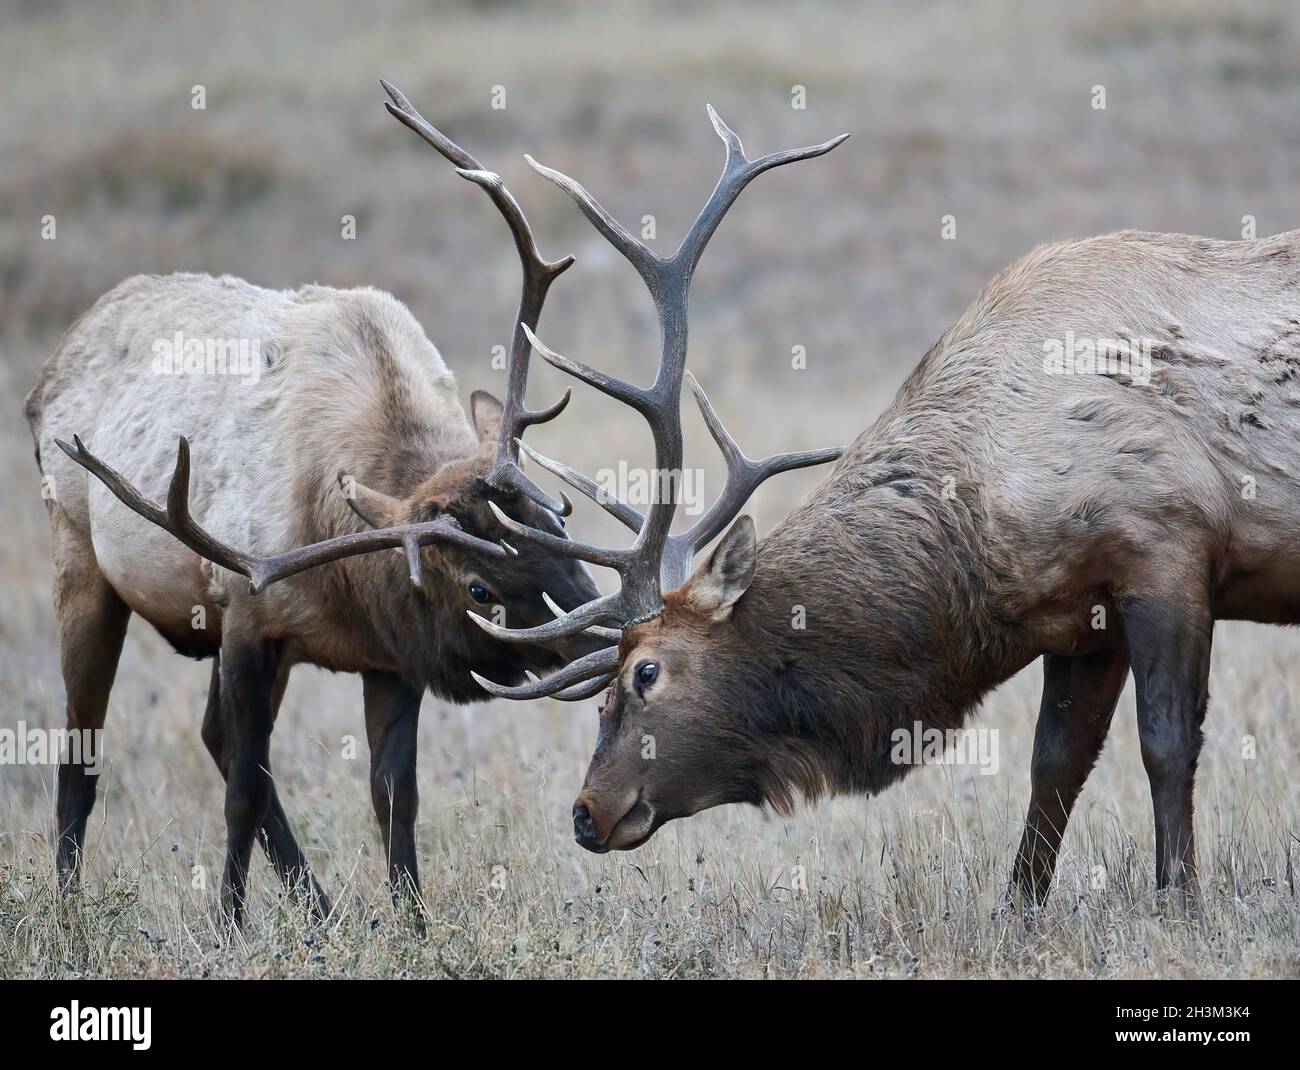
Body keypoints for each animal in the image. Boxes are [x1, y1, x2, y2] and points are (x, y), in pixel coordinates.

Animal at [24, 81, 614, 925]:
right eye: (479, 587)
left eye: (559, 517)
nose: (604, 636)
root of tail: (49, 371)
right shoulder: (244, 611)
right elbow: (242, 790)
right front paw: (229, 924)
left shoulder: (393, 654)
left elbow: (395, 796)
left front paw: (412, 923)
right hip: (79, 554)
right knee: (85, 751)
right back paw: (73, 908)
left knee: (211, 736)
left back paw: (323, 909)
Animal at [462, 107, 1300, 910]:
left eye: (645, 673)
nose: (585, 812)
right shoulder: (1084, 612)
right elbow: (1056, 761)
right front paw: (1017, 907)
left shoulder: (1167, 546)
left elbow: (1166, 742)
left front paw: (1180, 902)